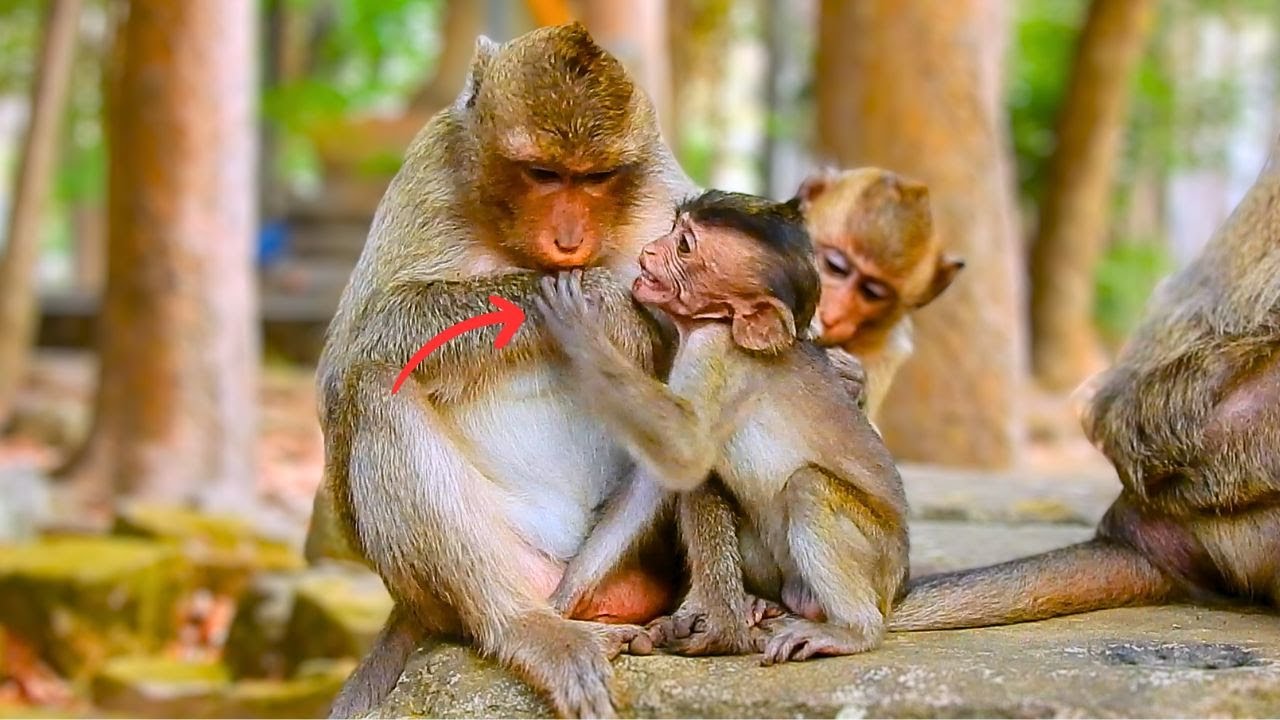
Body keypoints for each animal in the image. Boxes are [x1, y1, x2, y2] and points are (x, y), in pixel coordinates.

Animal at [314, 23, 697, 719]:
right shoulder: (431, 167)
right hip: (459, 582)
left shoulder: (662, 189)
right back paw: (523, 626)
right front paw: (605, 300)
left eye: (596, 178)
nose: (570, 241)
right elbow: (359, 344)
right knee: (378, 385)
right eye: (544, 174)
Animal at [536, 190, 909, 665]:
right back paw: (755, 606)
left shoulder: (713, 353)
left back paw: (851, 632)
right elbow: (662, 476)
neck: (721, 322)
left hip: (879, 559)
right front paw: (561, 602)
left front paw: (579, 326)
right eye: (674, 230)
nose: (651, 250)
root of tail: (895, 589)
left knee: (808, 486)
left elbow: (686, 451)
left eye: (684, 246)